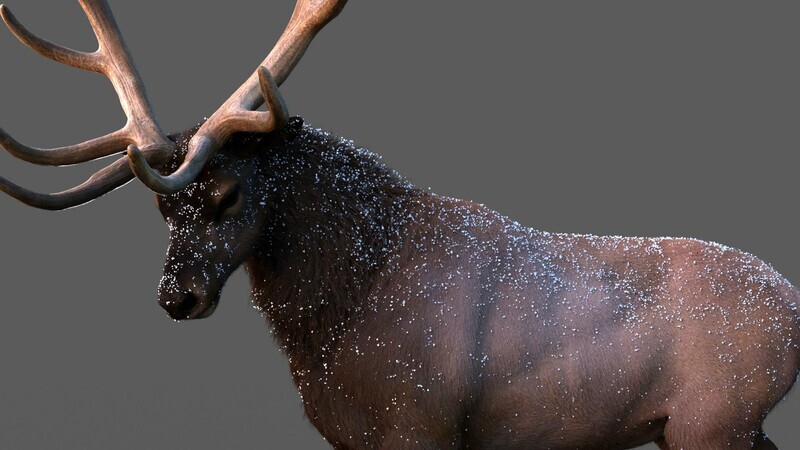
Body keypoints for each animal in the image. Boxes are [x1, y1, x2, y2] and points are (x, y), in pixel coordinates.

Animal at [1, 1, 797, 449]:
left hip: (713, 419)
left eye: (226, 192)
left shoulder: (423, 420)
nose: (177, 296)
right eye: (163, 206)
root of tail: (792, 307)